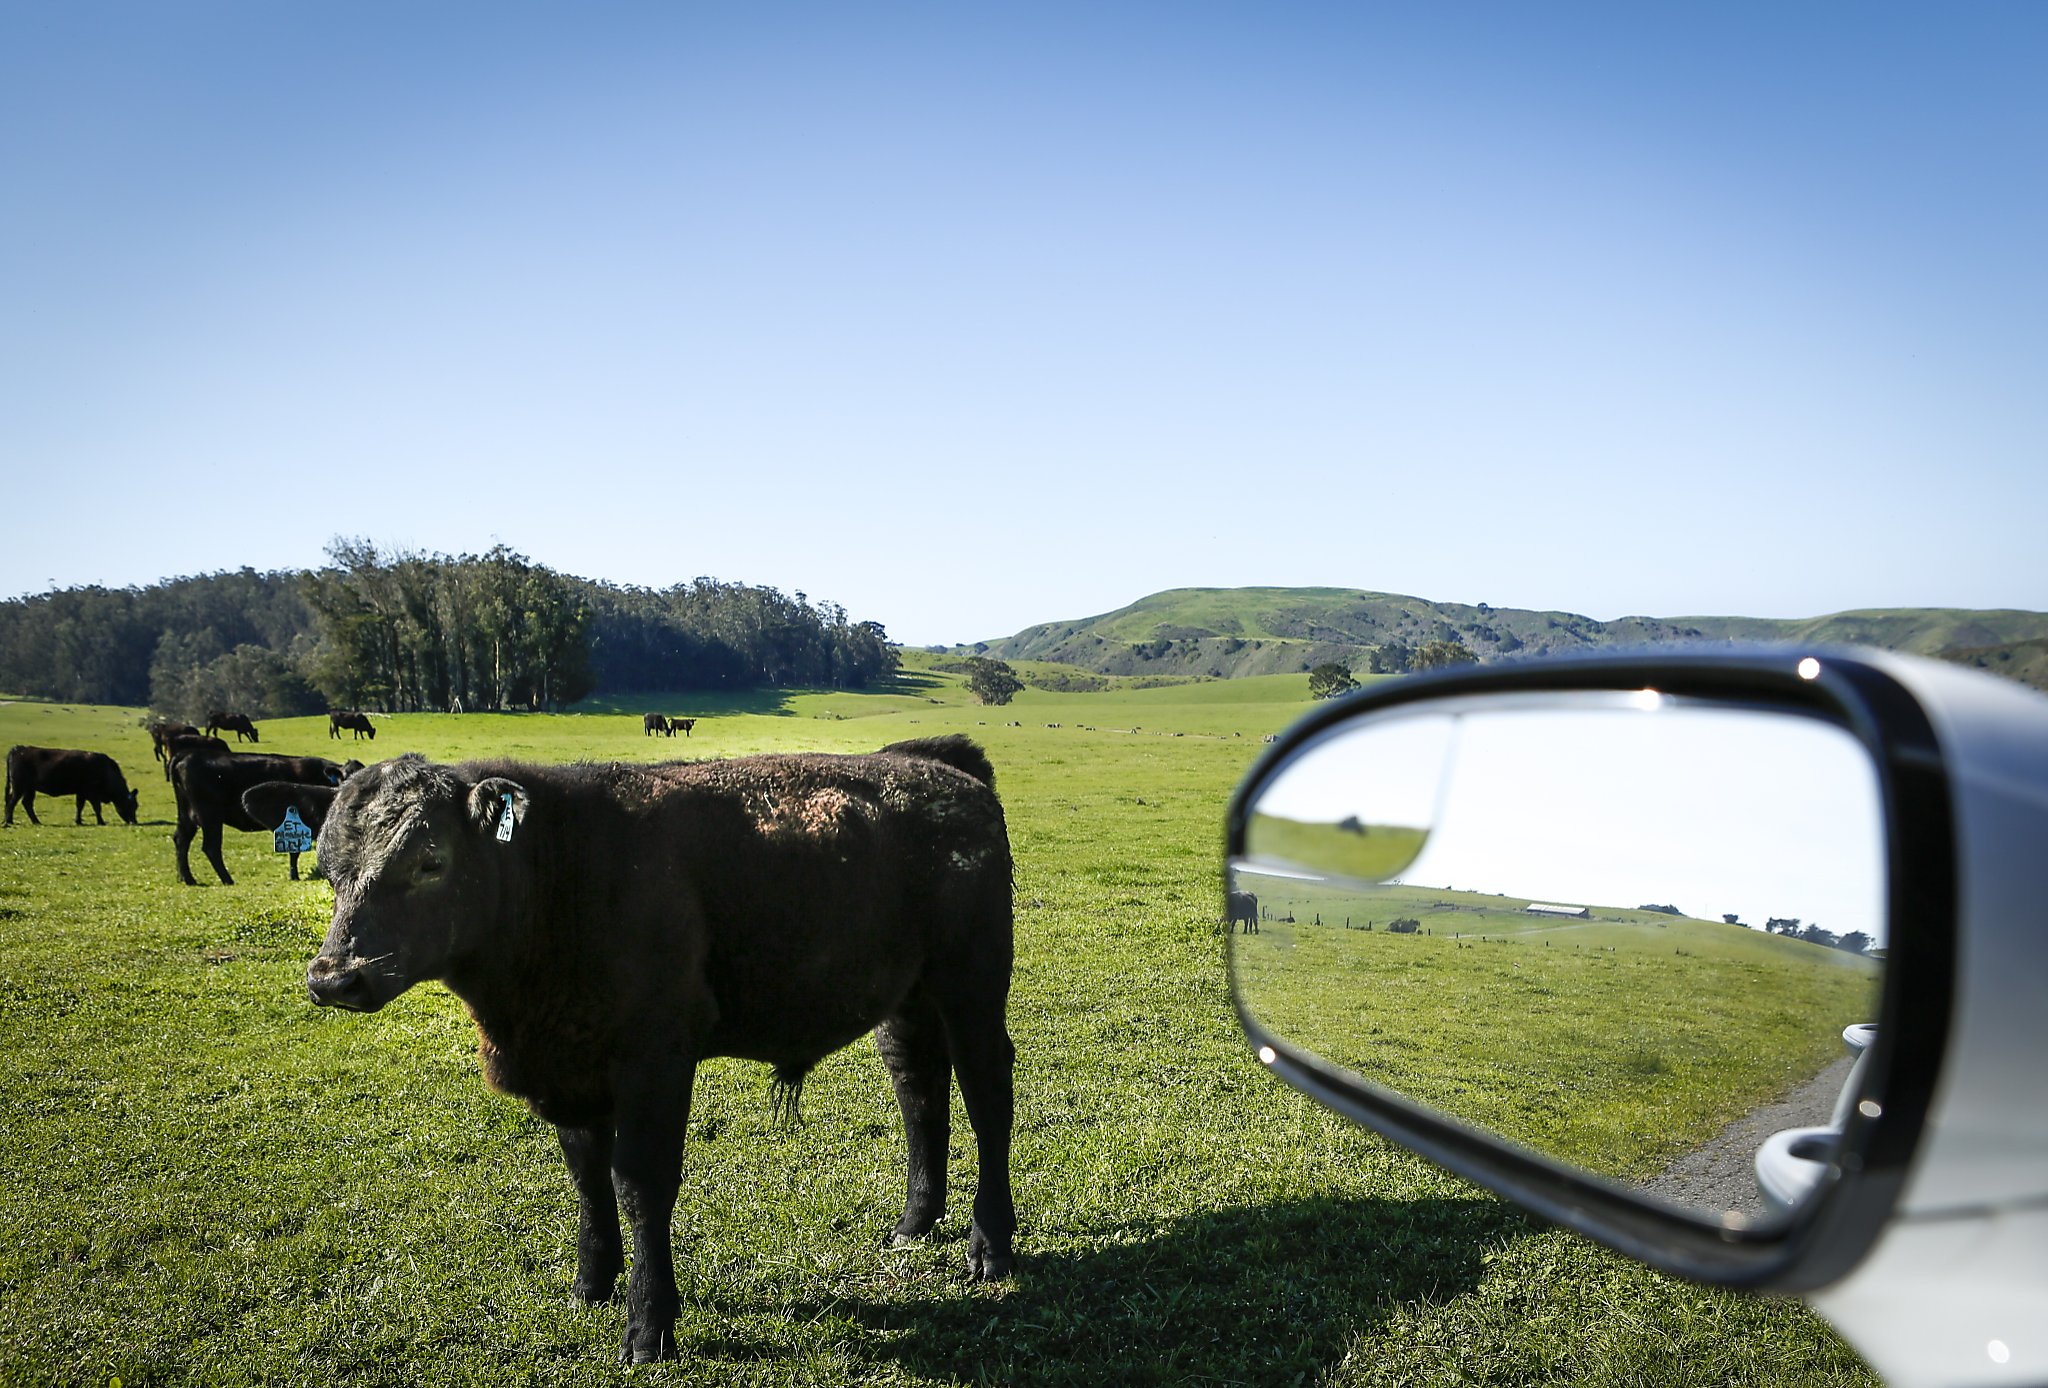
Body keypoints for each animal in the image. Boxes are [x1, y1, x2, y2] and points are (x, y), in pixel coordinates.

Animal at [5, 745, 141, 826]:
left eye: (136, 806)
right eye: (131, 805)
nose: (134, 822)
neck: (106, 771)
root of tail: (18, 749)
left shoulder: (81, 792)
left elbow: (79, 806)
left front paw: (78, 821)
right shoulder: (92, 793)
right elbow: (97, 807)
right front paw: (101, 822)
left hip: (29, 789)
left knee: (26, 803)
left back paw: (36, 821)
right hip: (19, 787)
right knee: (12, 802)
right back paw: (8, 822)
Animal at [172, 751, 358, 884]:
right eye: (344, 777)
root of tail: (187, 755)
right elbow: (294, 850)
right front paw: (294, 876)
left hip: (188, 814)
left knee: (181, 839)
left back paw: (187, 878)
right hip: (210, 816)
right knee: (211, 847)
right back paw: (227, 879)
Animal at [244, 735, 1016, 1362]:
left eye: (431, 859)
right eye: (328, 866)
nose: (335, 977)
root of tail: (943, 767)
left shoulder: (655, 1061)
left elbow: (640, 1183)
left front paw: (649, 1324)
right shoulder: (570, 1069)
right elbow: (587, 1177)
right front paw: (591, 1281)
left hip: (973, 987)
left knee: (987, 1098)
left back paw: (991, 1246)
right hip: (907, 1002)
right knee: (920, 1092)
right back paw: (914, 1224)